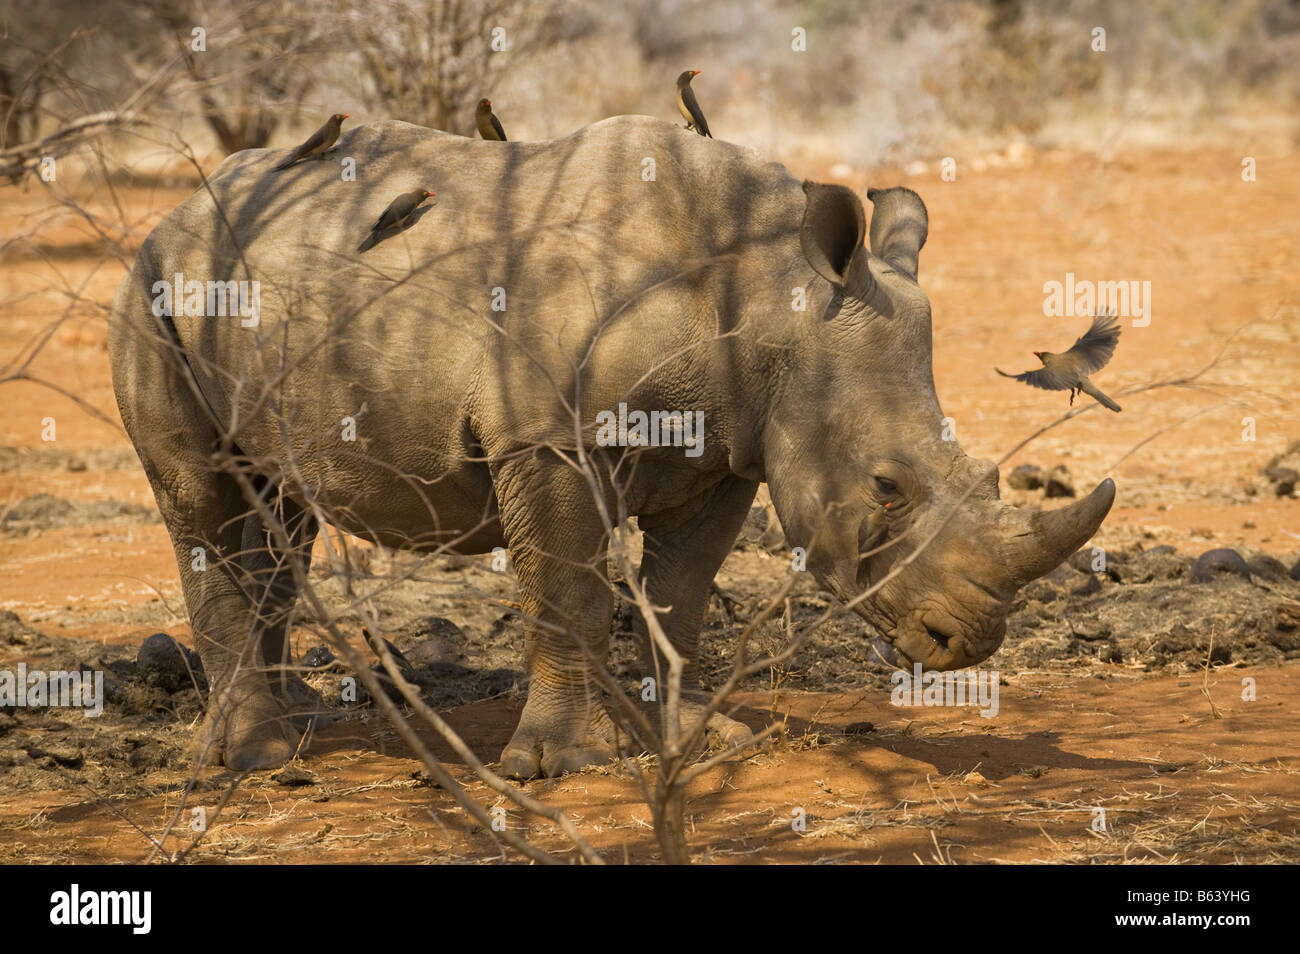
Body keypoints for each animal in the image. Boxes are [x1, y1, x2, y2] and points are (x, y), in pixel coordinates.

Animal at [108, 116, 1114, 777]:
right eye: (888, 486)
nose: (971, 641)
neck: (774, 297)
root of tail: (181, 208)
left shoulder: (730, 450)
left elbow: (680, 596)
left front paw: (693, 739)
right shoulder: (547, 440)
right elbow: (569, 592)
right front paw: (559, 765)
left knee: (279, 512)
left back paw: (302, 722)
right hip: (151, 291)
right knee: (201, 500)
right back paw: (254, 760)